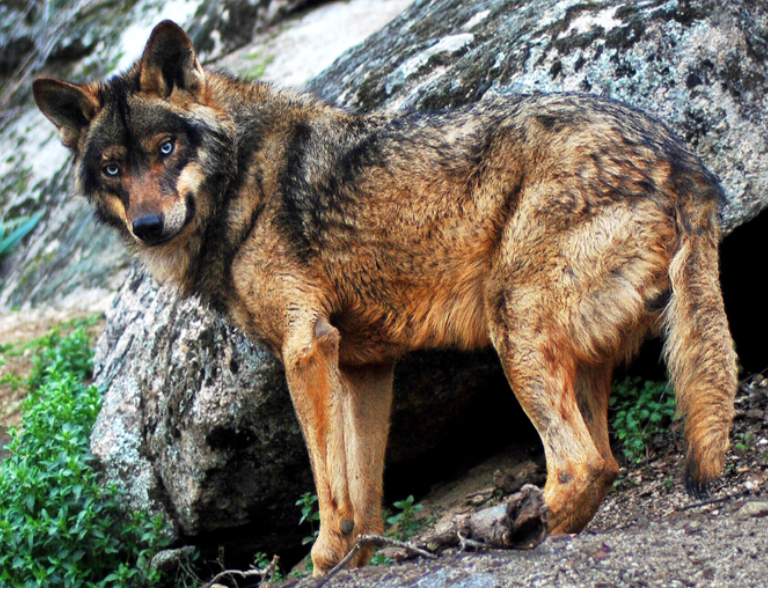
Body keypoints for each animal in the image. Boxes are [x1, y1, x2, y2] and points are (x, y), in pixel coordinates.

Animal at [33, 20, 737, 572]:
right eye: (113, 168)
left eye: (167, 147)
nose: (148, 226)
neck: (241, 182)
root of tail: (687, 163)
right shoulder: (363, 366)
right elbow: (364, 490)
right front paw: (359, 560)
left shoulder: (305, 347)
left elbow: (328, 486)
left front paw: (323, 562)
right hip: (574, 356)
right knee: (606, 463)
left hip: (513, 332)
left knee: (580, 464)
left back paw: (511, 533)